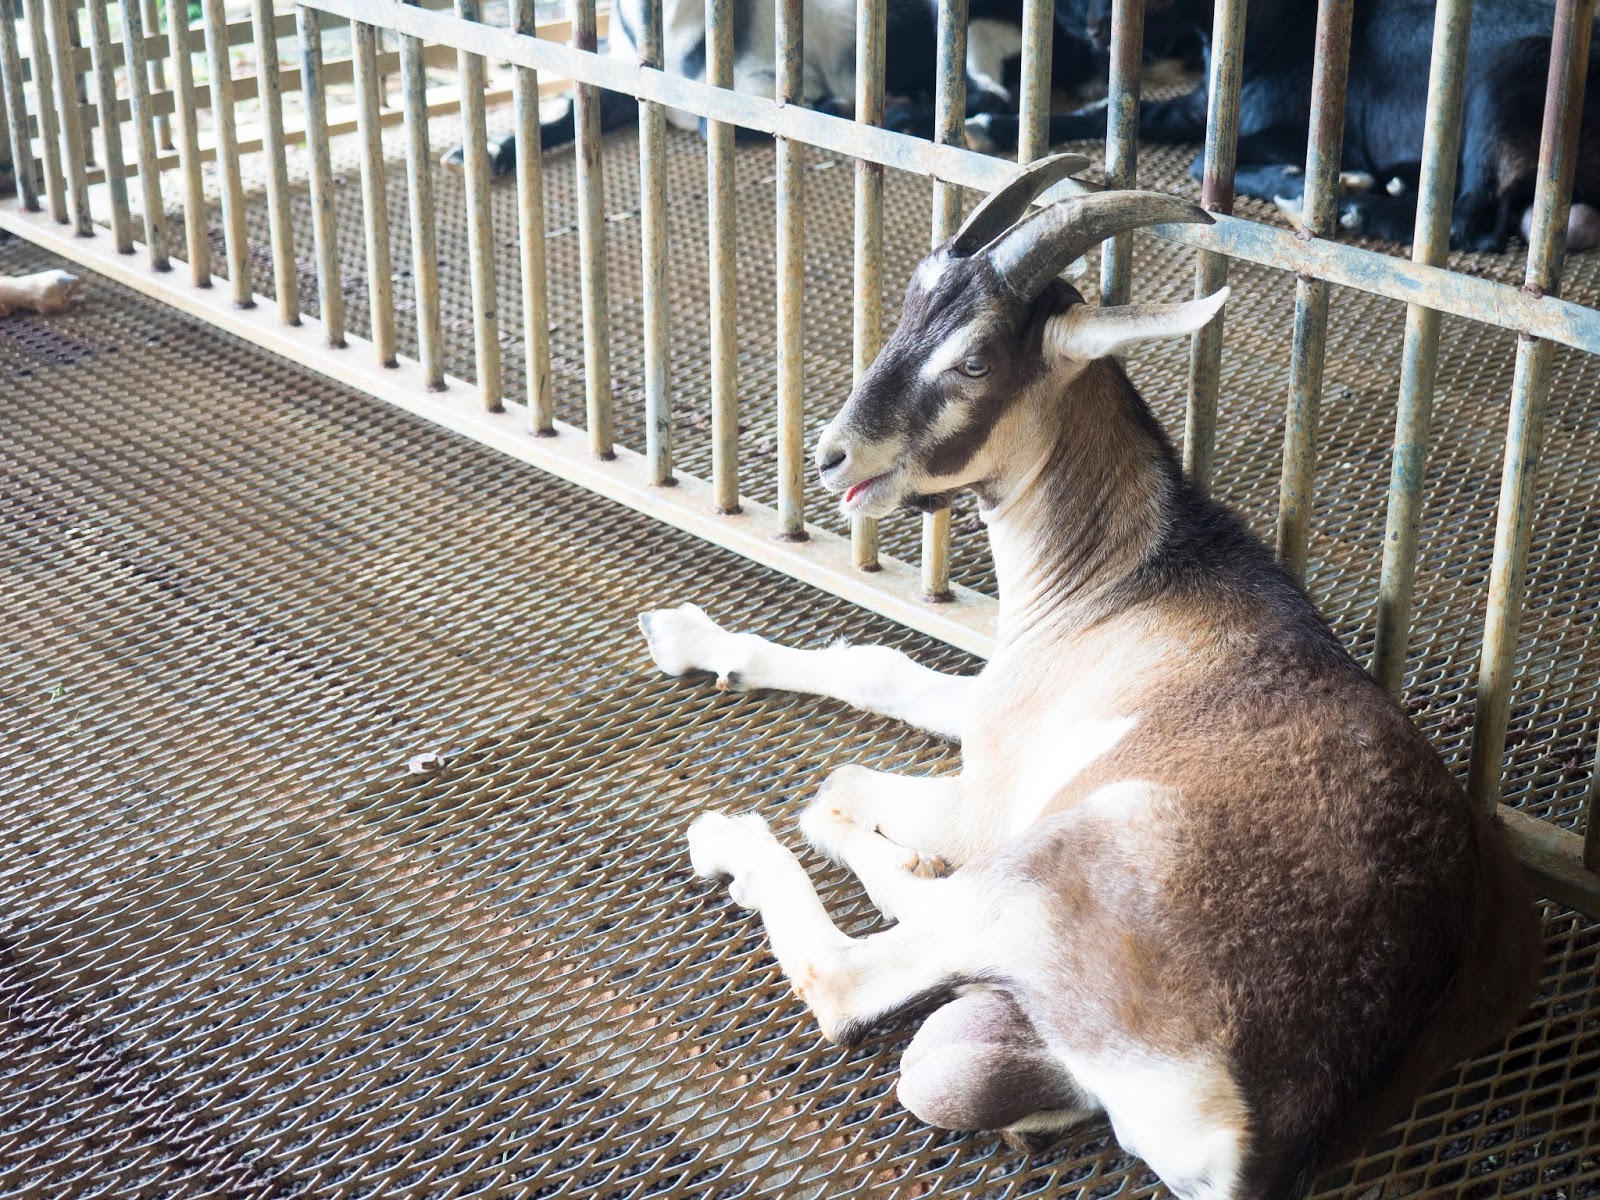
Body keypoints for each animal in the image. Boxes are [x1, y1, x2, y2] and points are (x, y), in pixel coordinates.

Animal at [638, 157, 1541, 1200]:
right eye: (909, 301)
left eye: (975, 361)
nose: (831, 455)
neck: (1133, 577)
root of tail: (1251, 1133)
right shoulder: (1004, 710)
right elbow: (881, 667)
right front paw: (684, 635)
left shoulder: (994, 795)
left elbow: (843, 779)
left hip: (1053, 863)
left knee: (858, 966)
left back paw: (737, 844)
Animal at [976, 0, 1600, 252]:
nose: (1089, 26)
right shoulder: (1196, 110)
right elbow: (1101, 115)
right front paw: (988, 123)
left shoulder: (1304, 132)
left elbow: (1202, 166)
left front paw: (1307, 184)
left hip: (1509, 75)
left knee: (1474, 224)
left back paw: (1356, 205)